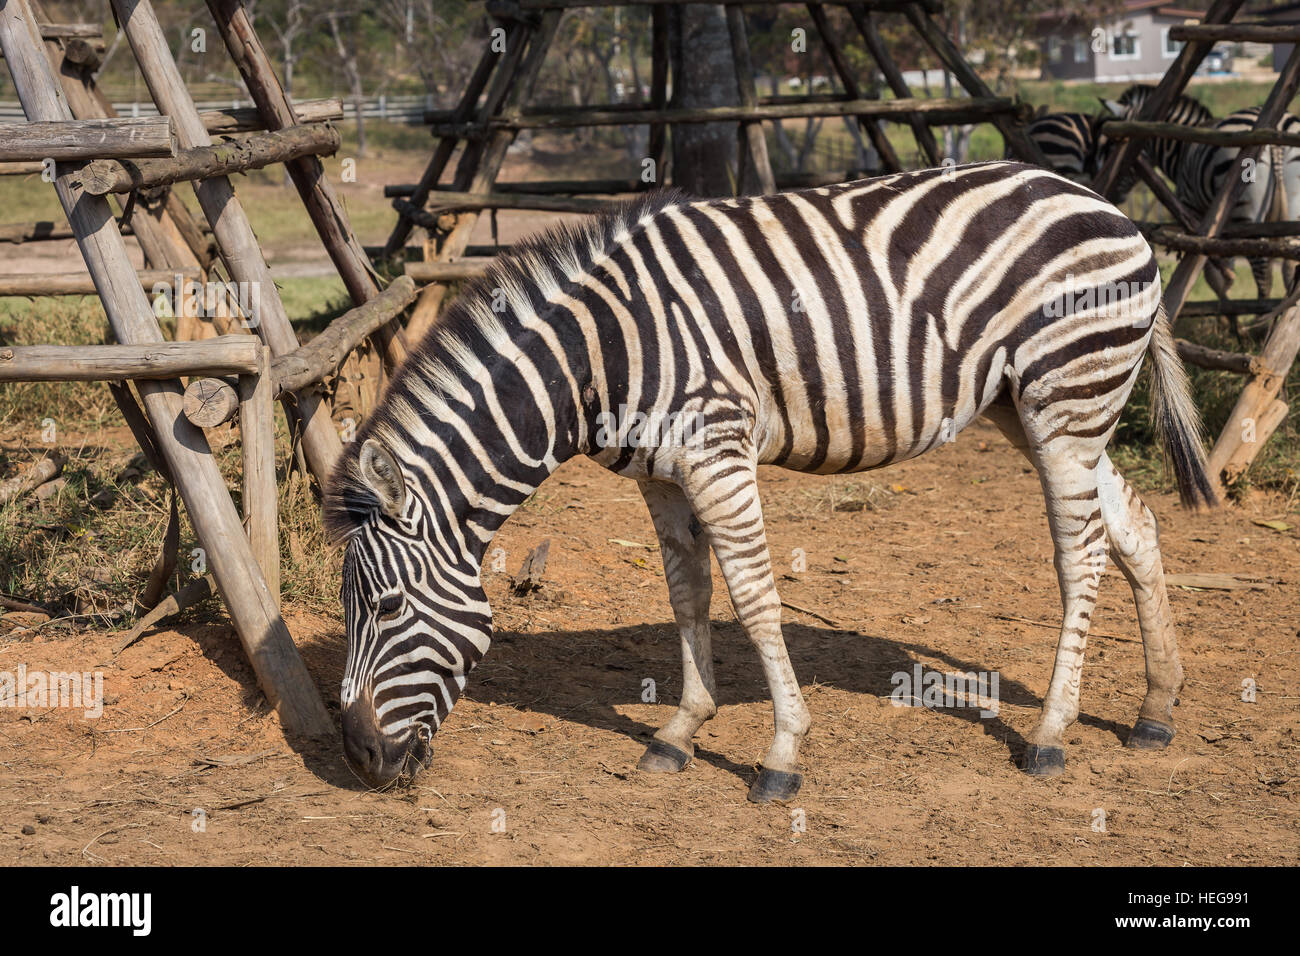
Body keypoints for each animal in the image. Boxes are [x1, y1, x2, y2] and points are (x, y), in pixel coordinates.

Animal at [324, 161, 1215, 803]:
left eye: (387, 608)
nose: (359, 759)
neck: (596, 356)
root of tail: (1107, 206)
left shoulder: (717, 450)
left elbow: (753, 595)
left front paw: (783, 753)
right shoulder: (660, 475)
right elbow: (687, 594)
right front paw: (679, 733)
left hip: (1066, 397)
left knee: (1082, 555)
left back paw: (1052, 737)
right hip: (1028, 408)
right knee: (1133, 524)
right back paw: (1156, 710)